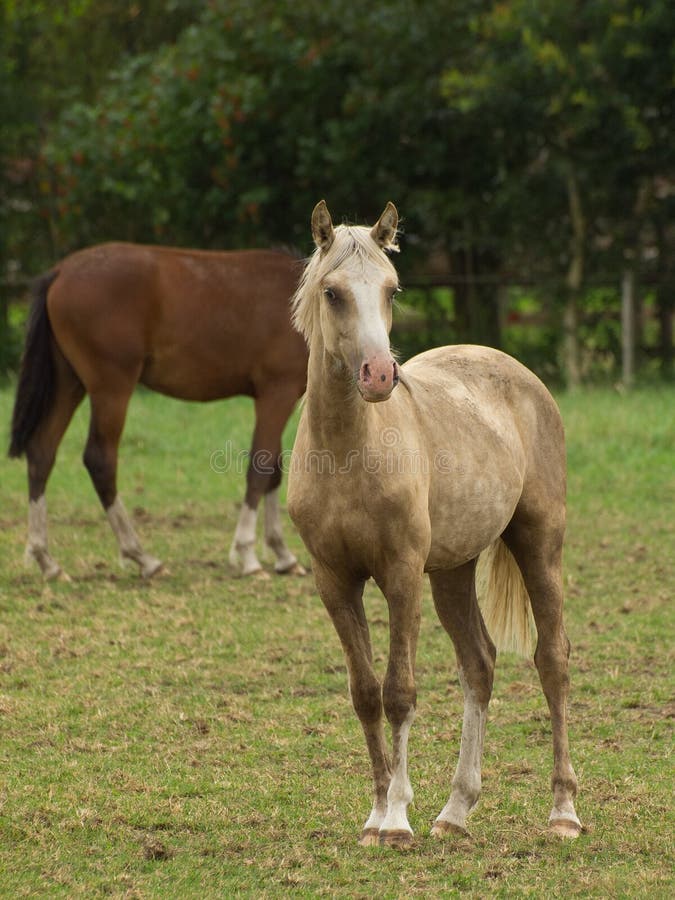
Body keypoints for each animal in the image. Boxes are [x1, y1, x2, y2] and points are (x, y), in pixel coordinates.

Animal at [9, 242, 308, 580]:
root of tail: (61, 272)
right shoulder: (276, 394)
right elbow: (260, 466)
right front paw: (248, 556)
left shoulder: (277, 397)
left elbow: (274, 470)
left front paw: (283, 555)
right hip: (111, 388)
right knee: (100, 460)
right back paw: (142, 557)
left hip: (68, 383)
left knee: (41, 453)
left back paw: (47, 561)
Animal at [287, 201, 582, 847]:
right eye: (332, 292)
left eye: (393, 289)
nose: (378, 375)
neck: (349, 454)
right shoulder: (333, 581)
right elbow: (365, 694)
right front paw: (376, 815)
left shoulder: (400, 575)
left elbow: (400, 692)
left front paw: (398, 819)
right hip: (452, 570)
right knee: (480, 664)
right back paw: (455, 811)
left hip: (539, 544)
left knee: (552, 660)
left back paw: (563, 812)